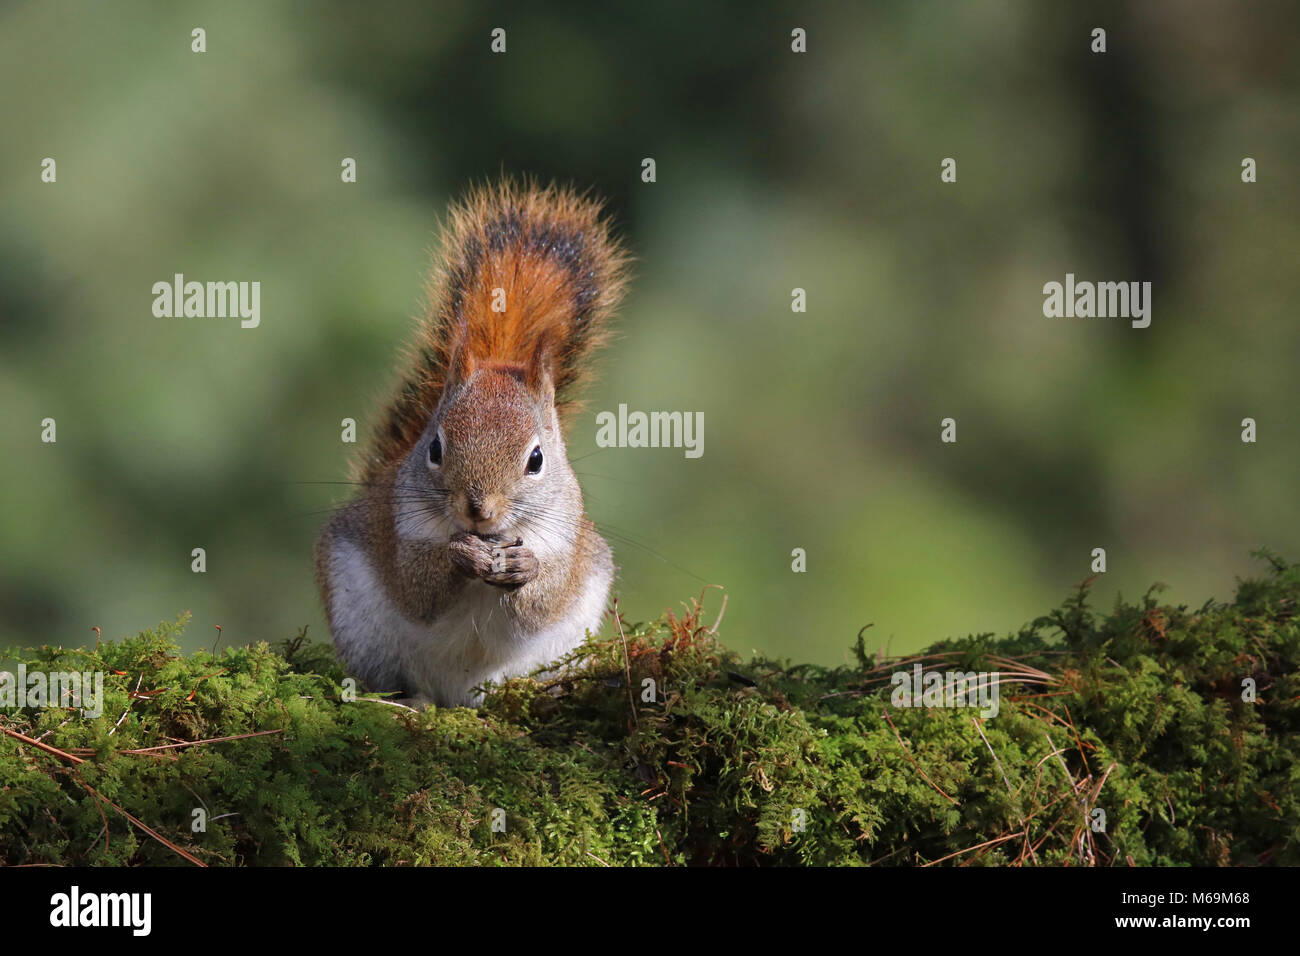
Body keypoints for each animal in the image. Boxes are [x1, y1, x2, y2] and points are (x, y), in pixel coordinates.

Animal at [315, 179, 630, 708]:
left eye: (537, 459)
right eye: (434, 449)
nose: (477, 509)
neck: (491, 537)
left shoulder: (565, 543)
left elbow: (544, 600)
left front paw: (525, 566)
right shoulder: (400, 533)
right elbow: (417, 587)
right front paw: (460, 556)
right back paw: (411, 700)